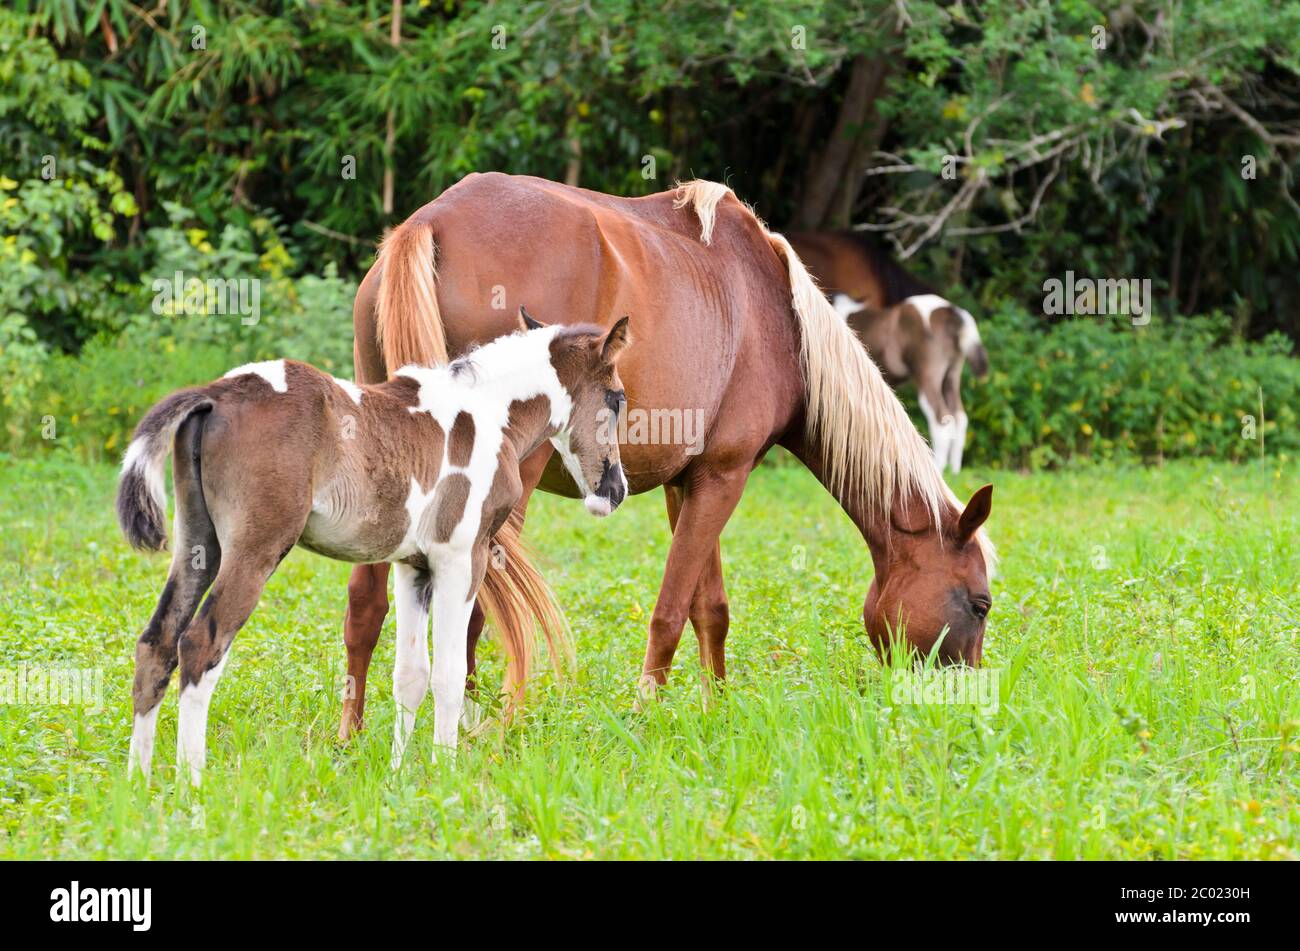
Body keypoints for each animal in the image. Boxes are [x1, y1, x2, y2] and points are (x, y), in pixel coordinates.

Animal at [118, 310, 631, 784]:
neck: (488, 413)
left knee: (156, 642)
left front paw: (400, 775)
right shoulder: (461, 558)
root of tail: (215, 394)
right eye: (617, 398)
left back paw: (139, 784)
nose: (615, 490)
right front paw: (445, 775)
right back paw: (191, 786)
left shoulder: (413, 566)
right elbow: (447, 674)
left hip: (198, 546)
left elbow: (410, 676)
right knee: (200, 644)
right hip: (255, 550)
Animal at [787, 231, 989, 472]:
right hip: (951, 375)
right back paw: (955, 471)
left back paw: (938, 468)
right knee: (959, 418)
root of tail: (953, 313)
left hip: (927, 375)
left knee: (941, 419)